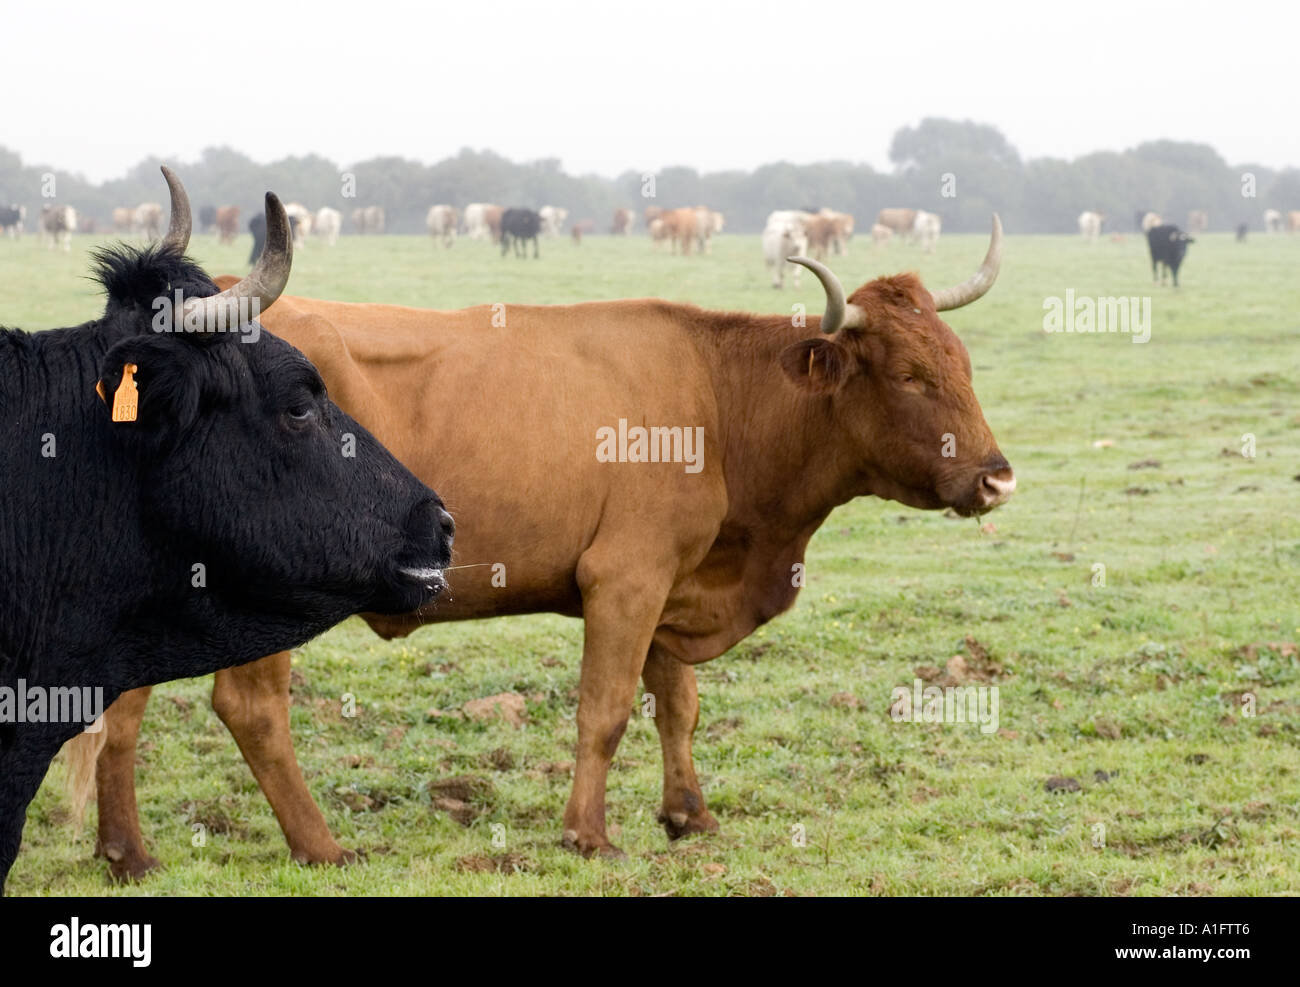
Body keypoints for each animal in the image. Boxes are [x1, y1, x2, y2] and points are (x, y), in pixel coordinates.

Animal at [75, 217, 1014, 877]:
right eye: (908, 377)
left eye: (964, 364)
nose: (998, 478)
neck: (718, 396)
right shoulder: (626, 580)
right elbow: (606, 710)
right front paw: (588, 834)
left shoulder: (666, 584)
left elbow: (678, 704)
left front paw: (689, 814)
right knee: (253, 707)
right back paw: (321, 846)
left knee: (127, 704)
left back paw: (129, 853)